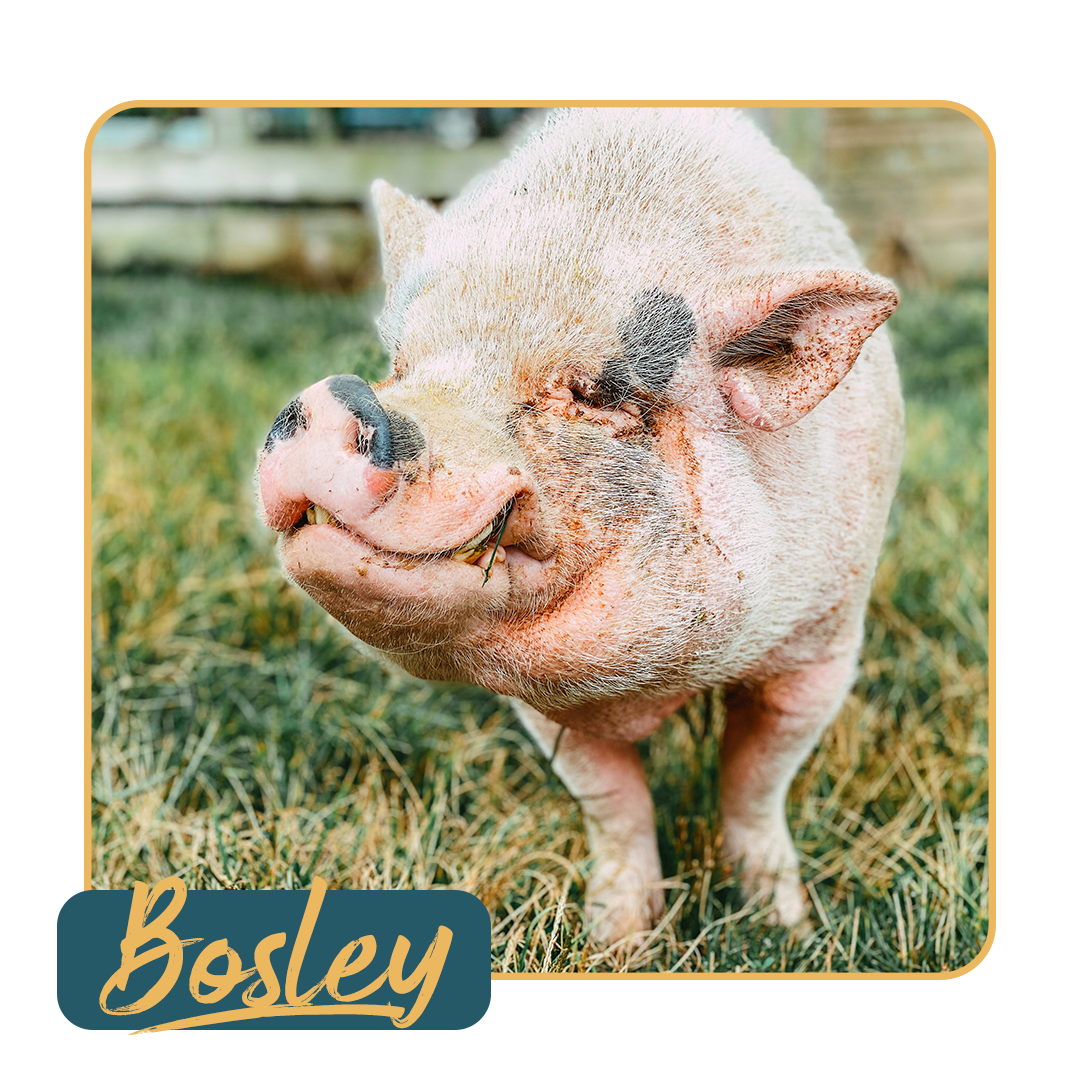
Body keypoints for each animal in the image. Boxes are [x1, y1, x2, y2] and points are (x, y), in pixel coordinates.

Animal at [257, 108, 904, 945]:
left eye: (593, 394)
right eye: (400, 363)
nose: (342, 395)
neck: (660, 686)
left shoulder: (822, 643)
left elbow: (759, 781)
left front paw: (784, 928)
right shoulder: (540, 704)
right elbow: (611, 802)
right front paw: (618, 941)